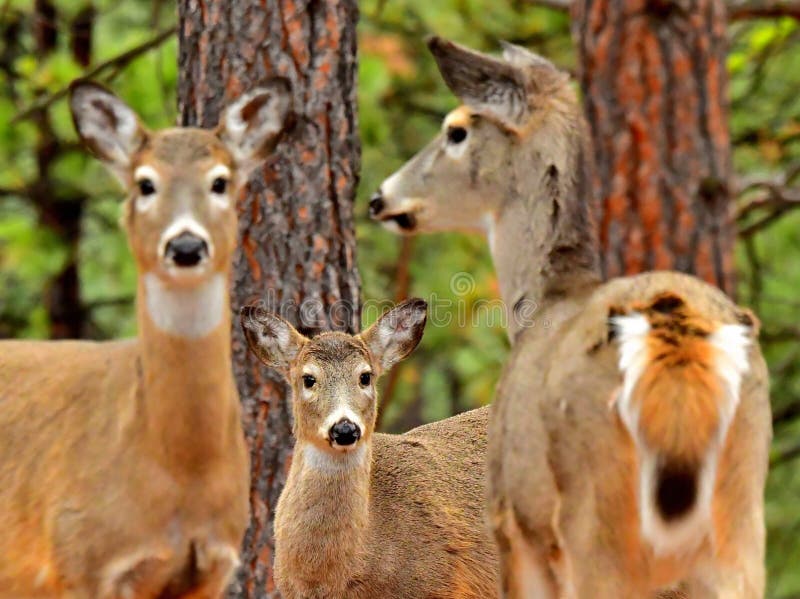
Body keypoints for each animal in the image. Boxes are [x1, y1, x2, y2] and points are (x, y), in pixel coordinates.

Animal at [370, 37, 771, 598]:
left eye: (456, 130)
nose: (380, 197)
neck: (548, 302)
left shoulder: (518, 524)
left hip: (596, 514)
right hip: (740, 512)